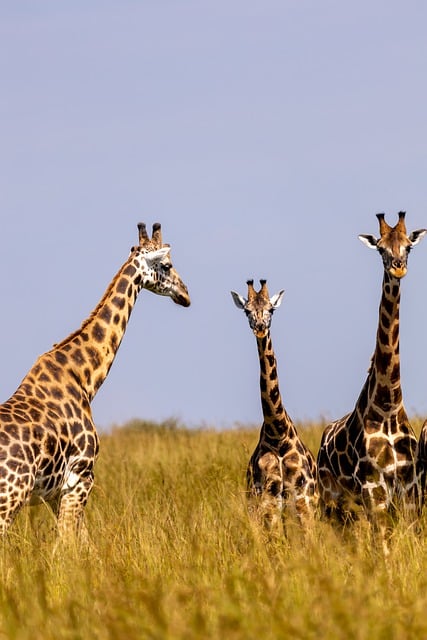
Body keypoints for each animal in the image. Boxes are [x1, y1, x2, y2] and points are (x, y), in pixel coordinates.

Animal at [0, 222, 191, 536]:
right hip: (10, 496)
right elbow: (67, 542)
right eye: (167, 264)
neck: (84, 377)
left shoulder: (58, 491)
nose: (185, 294)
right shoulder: (81, 477)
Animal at [232, 280, 320, 528]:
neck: (278, 432)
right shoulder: (267, 502)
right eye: (247, 311)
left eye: (271, 309)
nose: (260, 327)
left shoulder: (303, 502)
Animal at [316, 212, 426, 552]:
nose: (398, 267)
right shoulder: (372, 489)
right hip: (333, 500)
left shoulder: (409, 490)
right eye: (380, 248)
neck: (387, 406)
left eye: (408, 246)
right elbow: (385, 549)